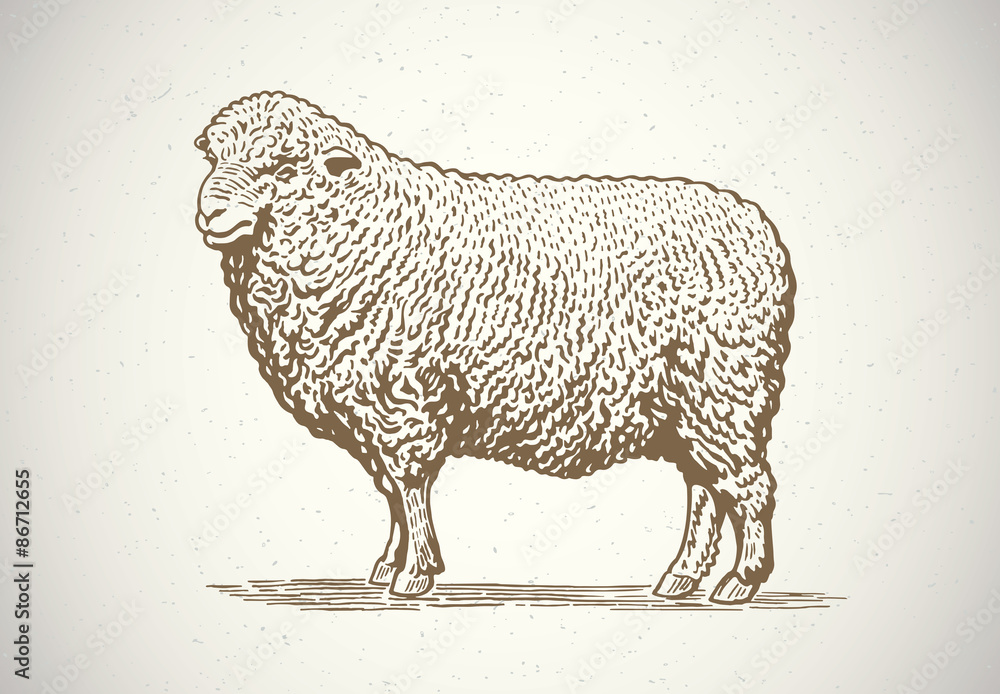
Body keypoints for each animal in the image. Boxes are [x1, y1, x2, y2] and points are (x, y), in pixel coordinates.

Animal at [193, 91, 795, 604]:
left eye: (284, 168)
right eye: (212, 158)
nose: (210, 213)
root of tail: (755, 225)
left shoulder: (405, 402)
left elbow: (408, 487)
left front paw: (415, 573)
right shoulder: (370, 406)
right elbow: (391, 493)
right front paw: (388, 565)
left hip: (724, 385)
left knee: (750, 486)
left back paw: (742, 581)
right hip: (687, 401)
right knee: (706, 488)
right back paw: (681, 577)